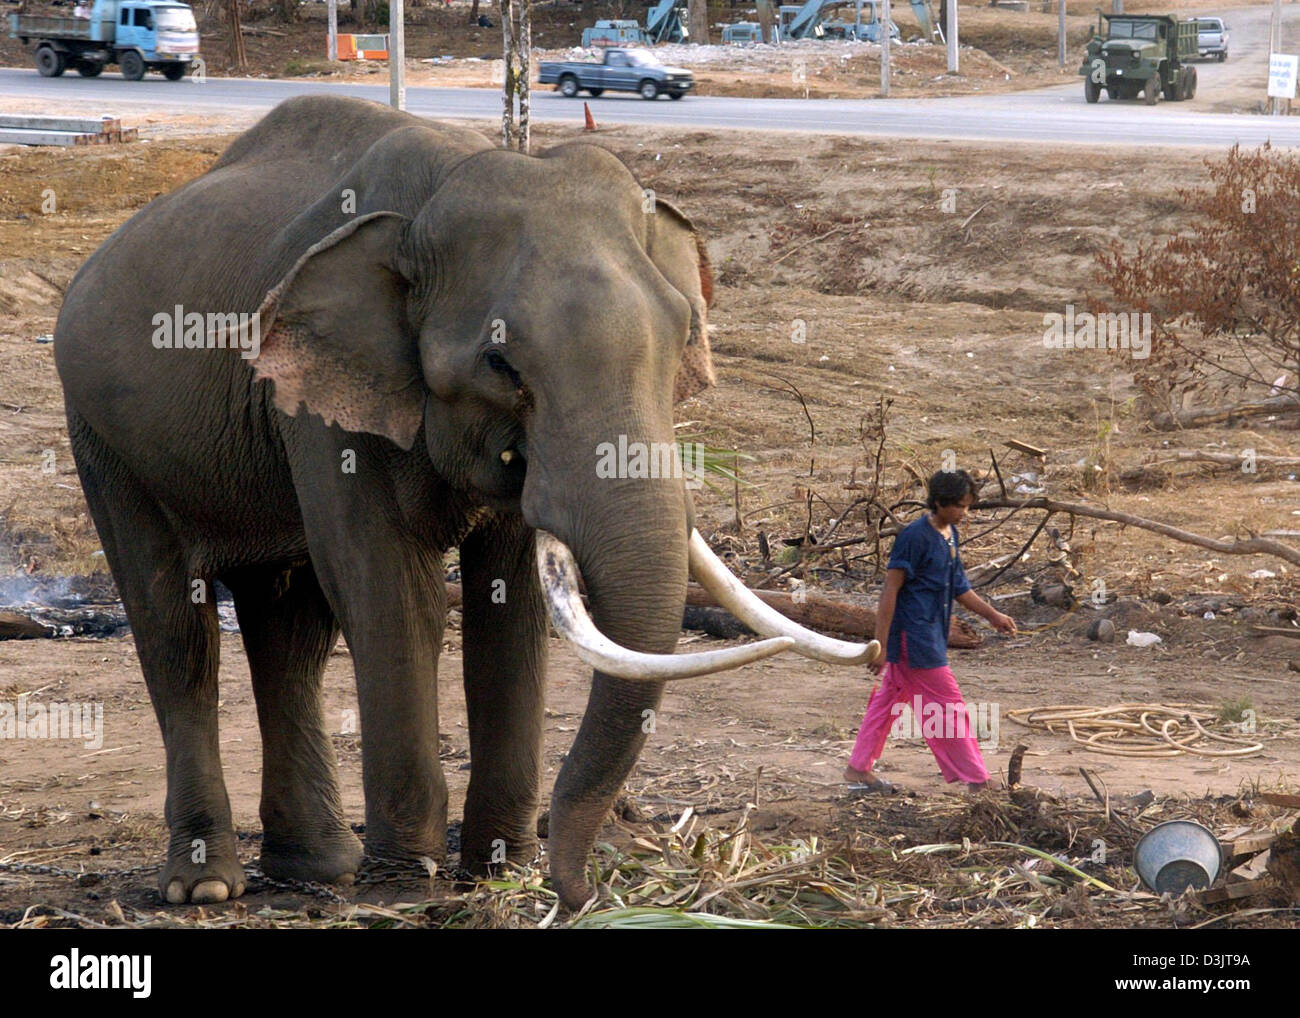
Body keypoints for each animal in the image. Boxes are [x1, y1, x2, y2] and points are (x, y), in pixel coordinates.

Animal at [54, 95, 877, 910]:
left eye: (683, 338)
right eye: (500, 363)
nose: (578, 893)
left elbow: (510, 600)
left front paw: (501, 870)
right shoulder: (326, 409)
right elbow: (392, 591)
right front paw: (407, 882)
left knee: (290, 630)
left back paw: (319, 869)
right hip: (102, 439)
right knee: (176, 630)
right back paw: (208, 885)